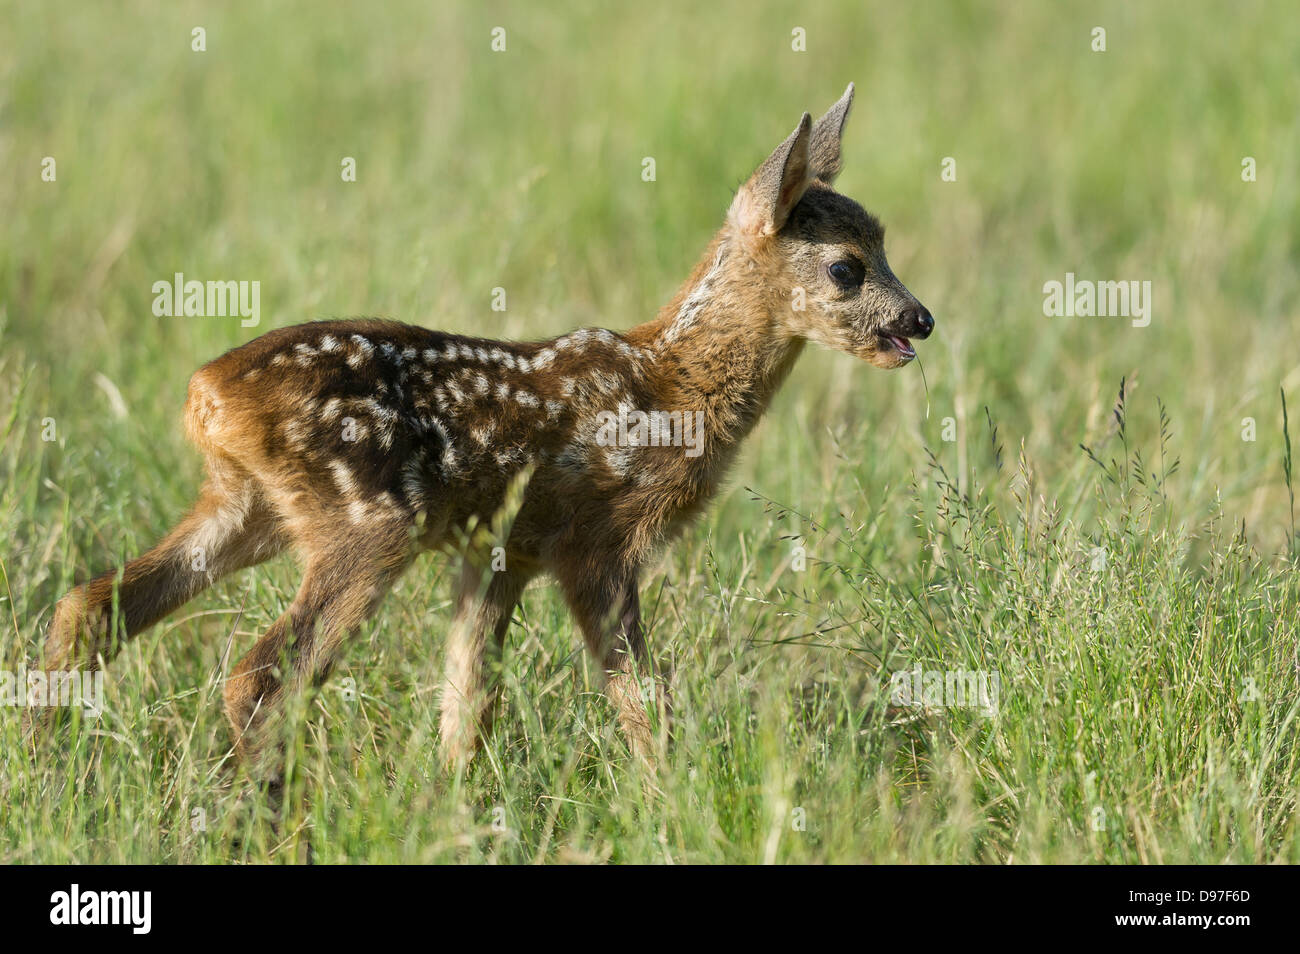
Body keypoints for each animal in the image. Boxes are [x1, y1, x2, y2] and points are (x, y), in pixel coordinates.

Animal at [30, 84, 933, 790]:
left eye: (886, 237)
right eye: (846, 267)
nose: (920, 319)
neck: (672, 385)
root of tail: (204, 395)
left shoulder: (502, 550)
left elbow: (466, 702)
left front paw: (454, 807)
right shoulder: (596, 542)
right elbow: (640, 696)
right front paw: (673, 798)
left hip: (246, 505)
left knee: (91, 606)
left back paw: (45, 772)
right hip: (366, 521)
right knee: (259, 674)